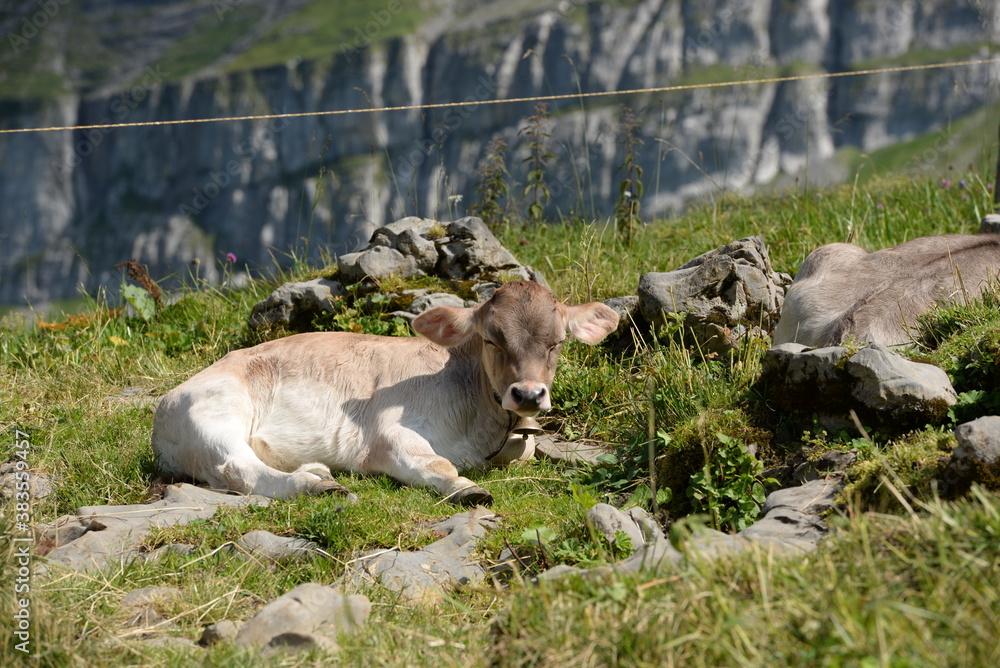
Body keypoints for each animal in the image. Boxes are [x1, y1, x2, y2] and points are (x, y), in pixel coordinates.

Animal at [151, 281, 618, 506]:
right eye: (490, 339)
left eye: (557, 343)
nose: (527, 395)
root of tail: (167, 399)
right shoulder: (388, 435)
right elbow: (436, 464)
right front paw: (468, 488)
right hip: (216, 414)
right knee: (238, 467)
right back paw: (317, 487)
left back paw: (317, 472)